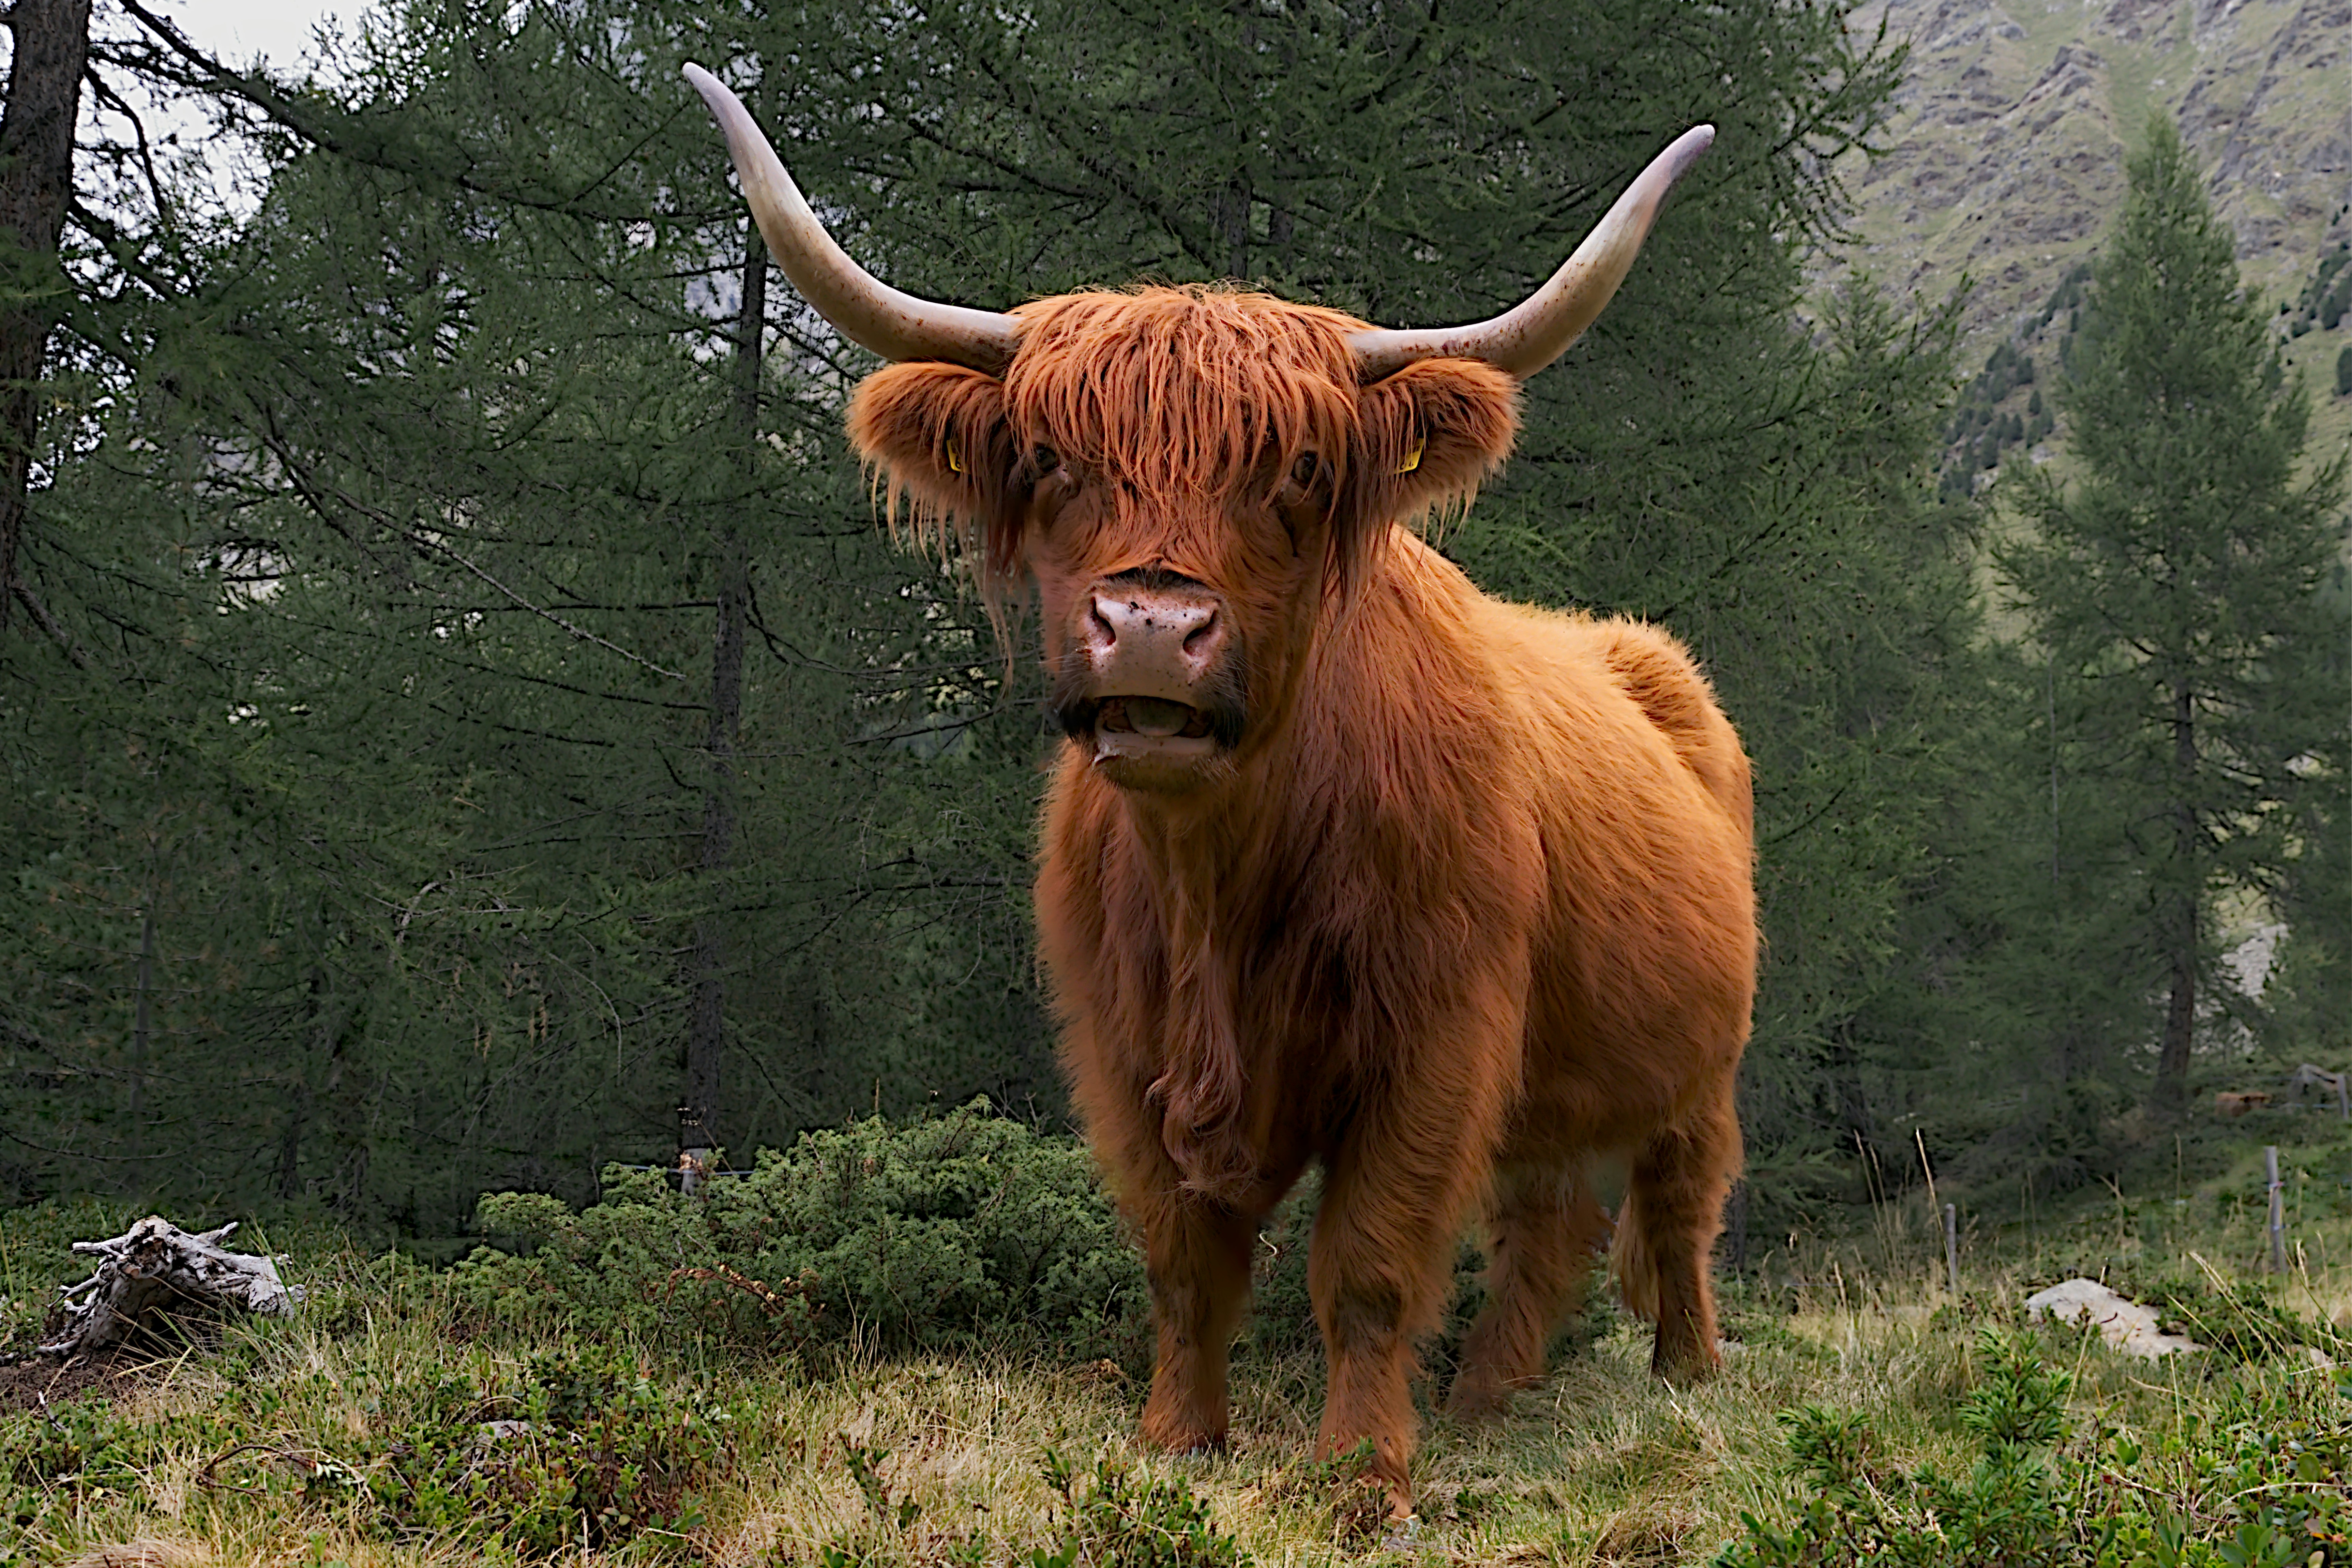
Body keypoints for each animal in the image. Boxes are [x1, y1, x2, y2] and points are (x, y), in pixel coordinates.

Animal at [685, 66, 1755, 1516]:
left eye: (1295, 471)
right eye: (1051, 460)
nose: (1149, 628)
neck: (1217, 887)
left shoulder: (1433, 1038)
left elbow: (1367, 1263)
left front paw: (1363, 1478)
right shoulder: (1119, 1044)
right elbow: (1186, 1263)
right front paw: (1175, 1443)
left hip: (1704, 1062)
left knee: (1678, 1204)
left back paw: (1684, 1375)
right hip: (1555, 1087)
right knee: (1545, 1223)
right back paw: (1485, 1402)